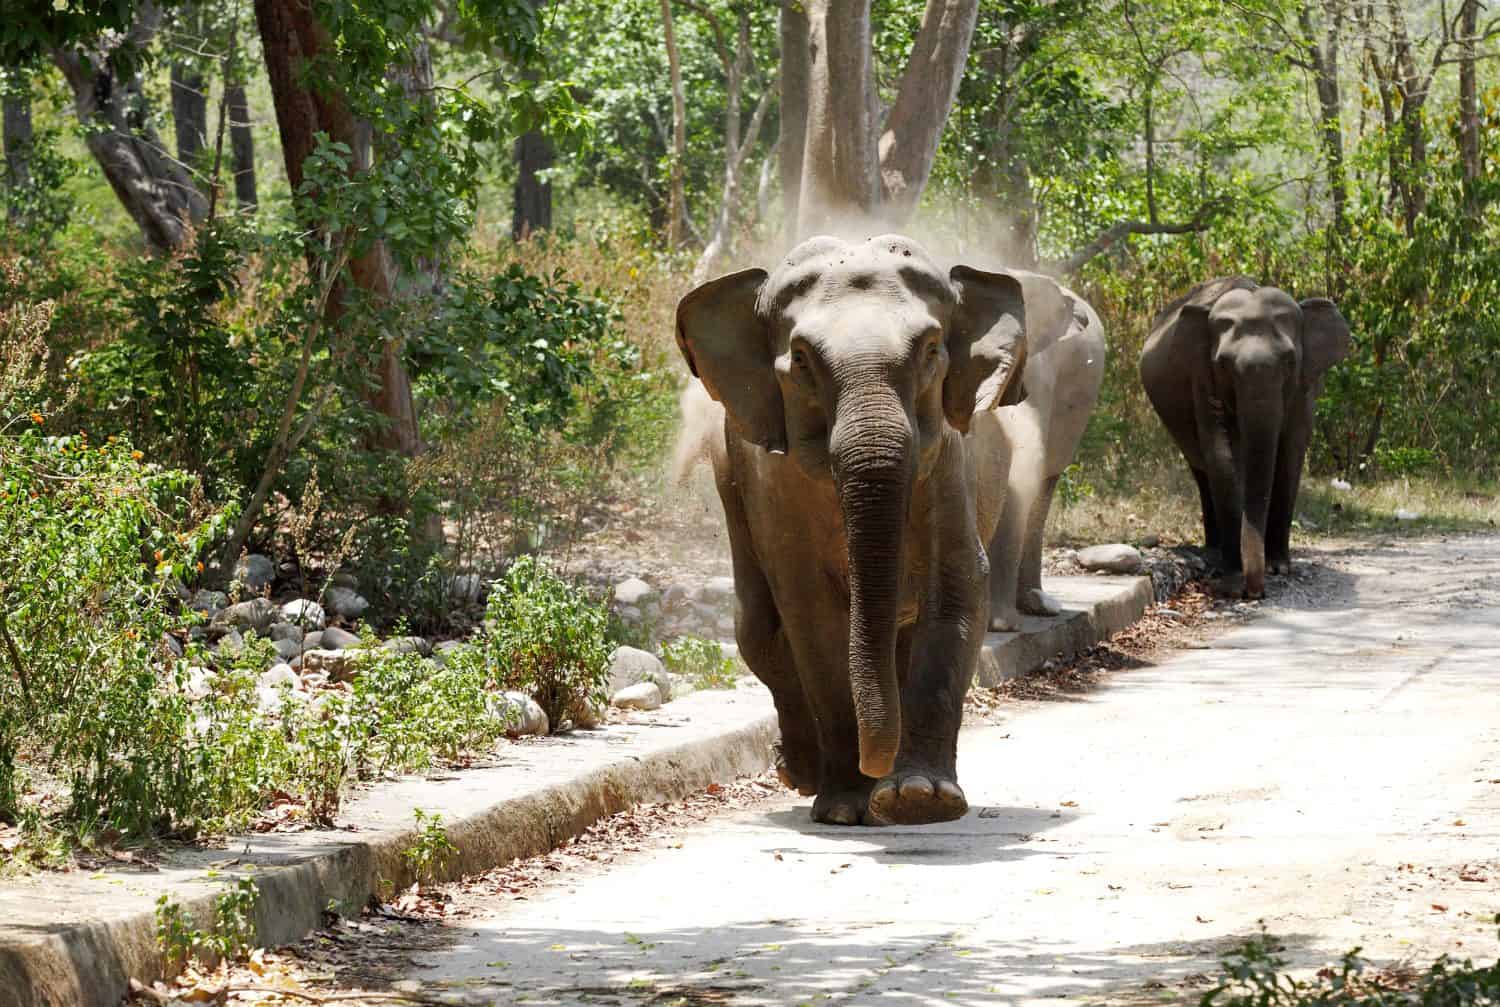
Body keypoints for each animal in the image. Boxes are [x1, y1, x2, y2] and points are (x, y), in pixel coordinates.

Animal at [675, 233, 1045, 827]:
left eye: (931, 350)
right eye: (802, 358)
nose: (877, 769)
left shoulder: (949, 461)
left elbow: (959, 585)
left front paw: (920, 799)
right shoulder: (769, 479)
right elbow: (810, 612)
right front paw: (847, 808)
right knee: (757, 627)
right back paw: (801, 776)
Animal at [1139, 276, 1351, 598]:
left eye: (1290, 360)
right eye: (1224, 363)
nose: (1255, 593)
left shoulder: (1305, 386)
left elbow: (1290, 454)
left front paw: (1279, 568)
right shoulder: (1202, 377)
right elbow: (1221, 452)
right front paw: (1233, 576)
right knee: (1202, 470)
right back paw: (1213, 551)